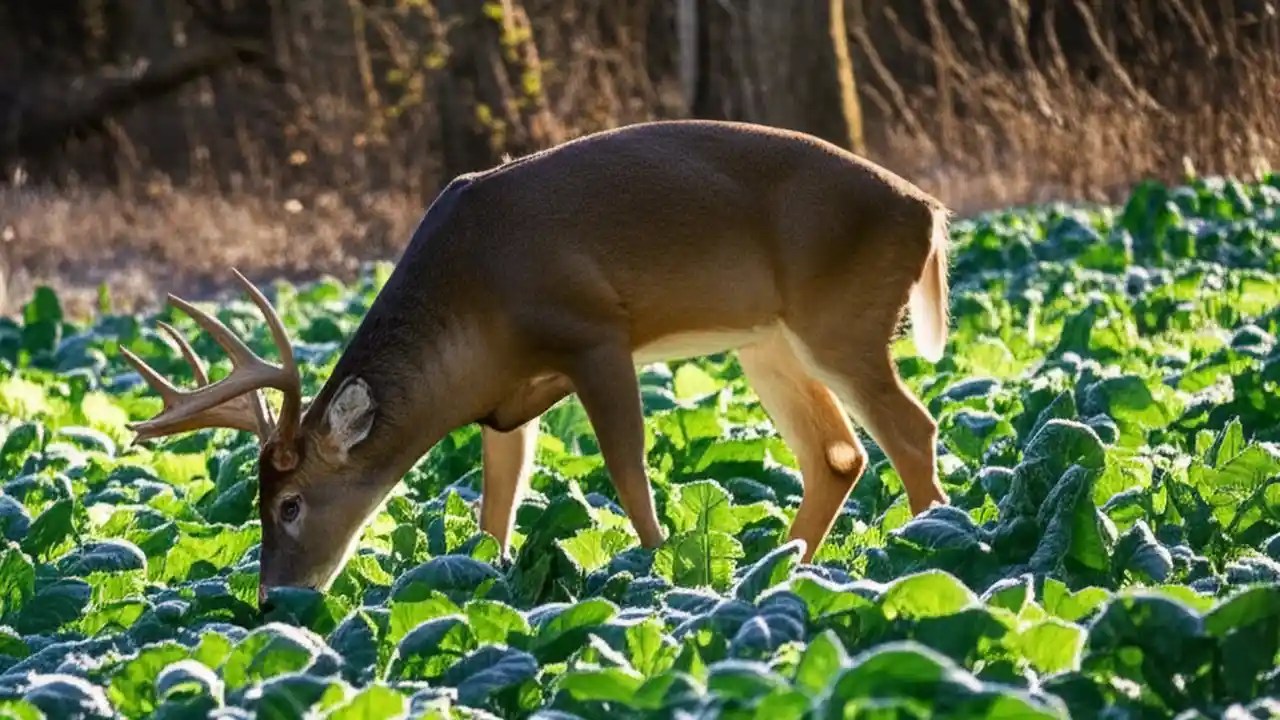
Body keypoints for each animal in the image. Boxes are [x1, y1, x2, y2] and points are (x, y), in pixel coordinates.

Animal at [119, 120, 952, 608]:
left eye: (289, 504)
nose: (269, 601)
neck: (475, 299)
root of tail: (929, 211)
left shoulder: (594, 334)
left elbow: (628, 470)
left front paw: (658, 574)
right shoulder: (504, 399)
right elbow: (496, 508)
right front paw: (481, 580)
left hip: (838, 319)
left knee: (910, 429)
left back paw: (926, 554)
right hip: (765, 340)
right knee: (837, 454)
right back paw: (785, 571)